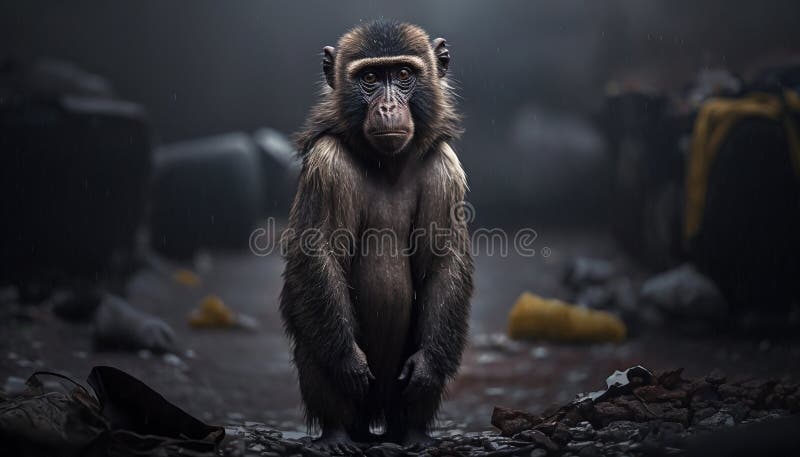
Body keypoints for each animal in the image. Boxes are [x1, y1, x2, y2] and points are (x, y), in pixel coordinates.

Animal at [279, 20, 473, 453]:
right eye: (369, 79)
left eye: (402, 74)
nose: (386, 106)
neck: (387, 163)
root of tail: (374, 420)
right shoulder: (326, 161)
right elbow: (319, 254)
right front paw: (347, 362)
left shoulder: (445, 168)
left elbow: (443, 264)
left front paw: (428, 367)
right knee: (318, 340)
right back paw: (336, 431)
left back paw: (413, 432)